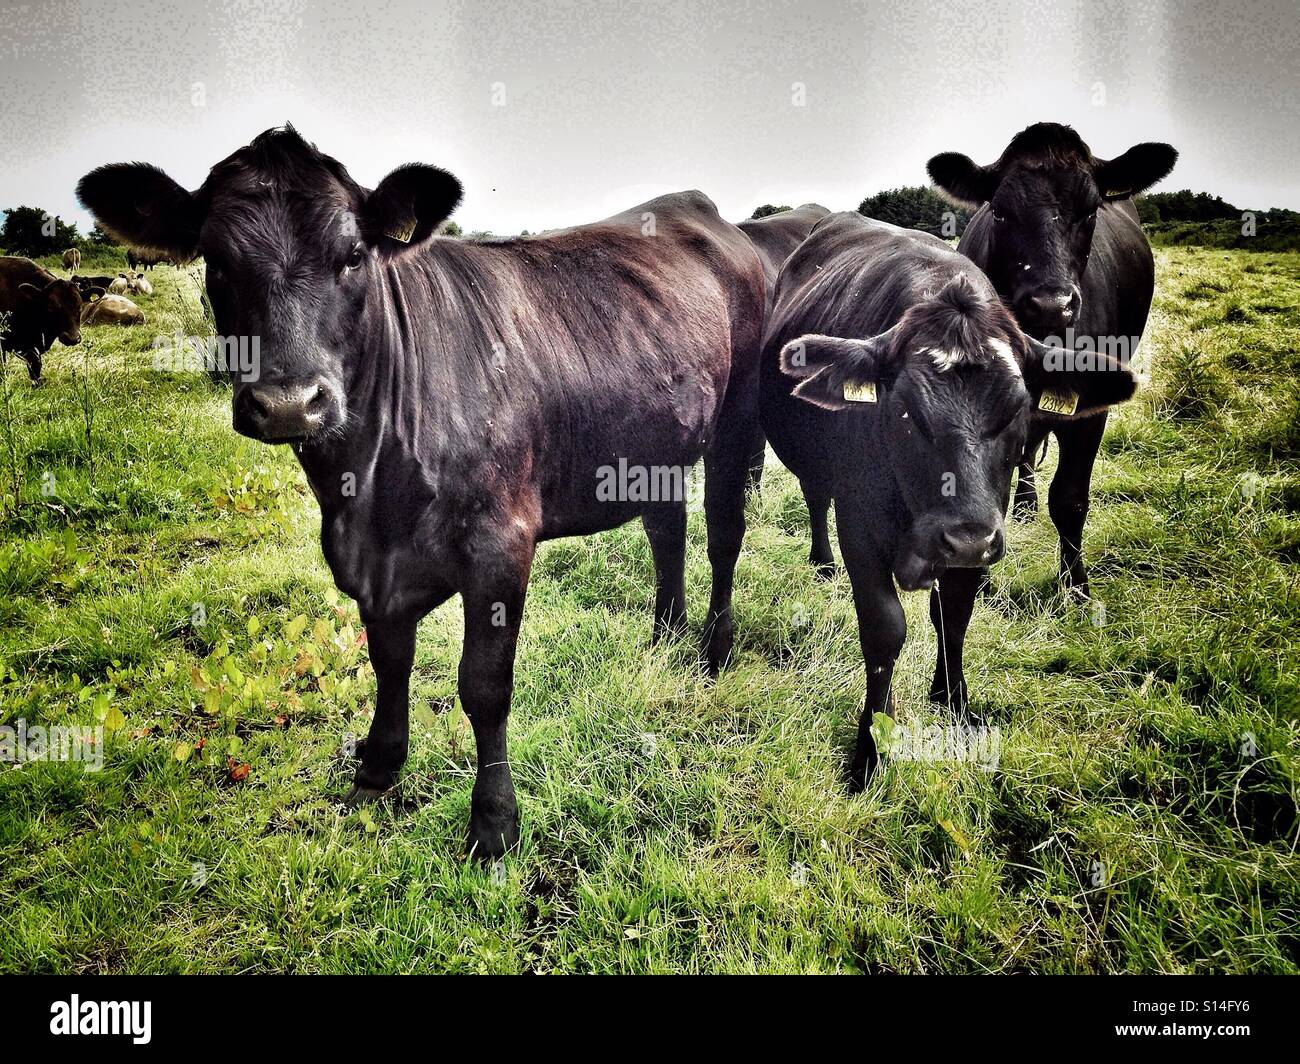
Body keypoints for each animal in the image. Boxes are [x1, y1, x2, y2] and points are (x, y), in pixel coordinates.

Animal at [78, 125, 766, 860]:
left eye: (353, 255)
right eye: (215, 259)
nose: (289, 402)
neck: (367, 488)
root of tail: (698, 209)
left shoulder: (499, 547)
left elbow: (484, 686)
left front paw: (494, 823)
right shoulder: (368, 562)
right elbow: (389, 659)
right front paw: (379, 765)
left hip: (738, 420)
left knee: (723, 532)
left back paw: (713, 648)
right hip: (656, 438)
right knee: (666, 529)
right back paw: (664, 638)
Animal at [760, 213, 1138, 788]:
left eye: (1017, 410)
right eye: (905, 411)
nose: (964, 537)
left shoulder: (981, 534)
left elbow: (954, 614)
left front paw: (953, 700)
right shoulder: (859, 524)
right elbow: (884, 630)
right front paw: (869, 751)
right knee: (815, 496)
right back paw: (821, 562)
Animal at [928, 123, 1176, 596]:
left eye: (1091, 211)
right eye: (1000, 212)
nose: (1050, 303)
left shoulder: (1091, 412)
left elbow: (1070, 498)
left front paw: (1075, 585)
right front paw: (981, 580)